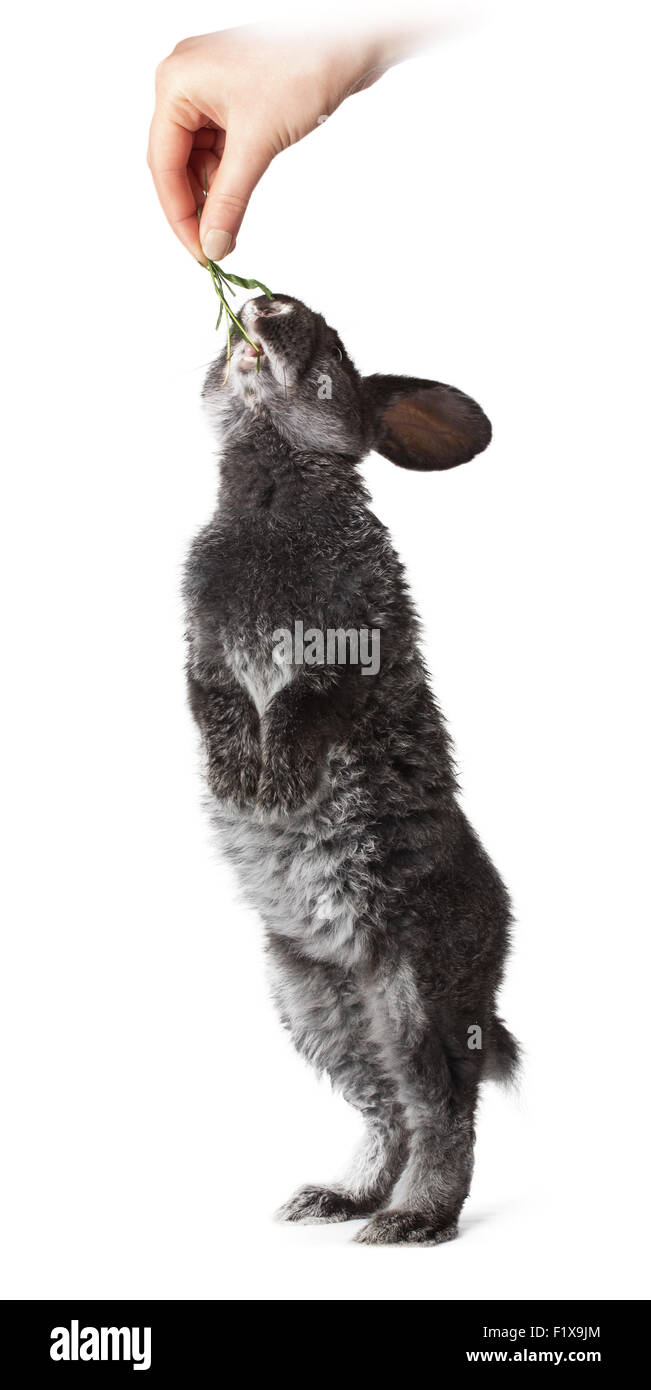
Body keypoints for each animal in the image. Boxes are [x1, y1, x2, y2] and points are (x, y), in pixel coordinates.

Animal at [184, 293, 519, 1246]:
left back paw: (411, 1222)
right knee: (387, 1109)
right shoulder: (204, 655)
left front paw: (279, 785)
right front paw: (238, 782)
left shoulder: (348, 645)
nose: (266, 305)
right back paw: (337, 1199)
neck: (269, 488)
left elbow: (303, 705)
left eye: (328, 346)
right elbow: (217, 706)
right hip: (310, 995)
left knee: (443, 1110)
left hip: (414, 994)